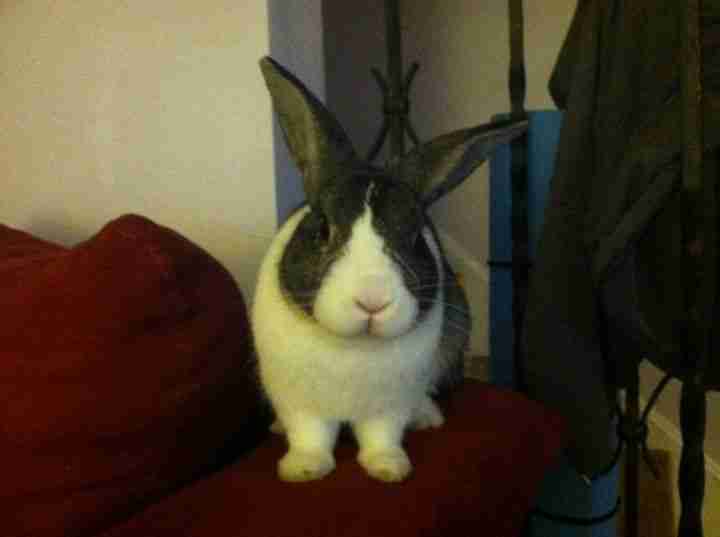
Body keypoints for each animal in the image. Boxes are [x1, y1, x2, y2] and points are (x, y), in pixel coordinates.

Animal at [252, 57, 527, 483]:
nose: (372, 300)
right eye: (323, 228)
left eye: (415, 237)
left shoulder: (388, 406)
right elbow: (309, 434)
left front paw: (389, 468)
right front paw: (304, 469)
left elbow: (381, 435)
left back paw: (427, 417)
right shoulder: (300, 402)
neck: (354, 346)